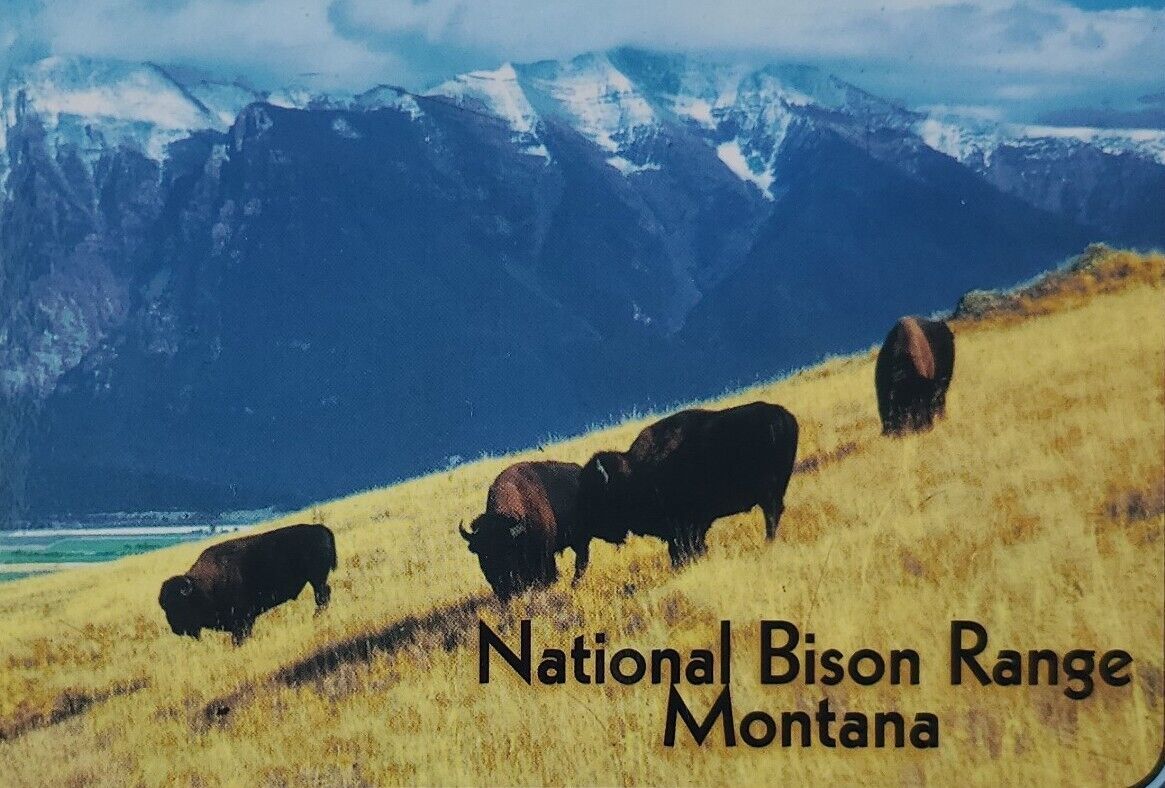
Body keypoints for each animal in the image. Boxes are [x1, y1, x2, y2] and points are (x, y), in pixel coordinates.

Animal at [158, 523, 337, 645]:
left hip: (317, 579)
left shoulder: (243, 619)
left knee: (322, 596)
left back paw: (316, 616)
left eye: (180, 604)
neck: (201, 588)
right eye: (165, 607)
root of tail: (319, 528)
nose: (176, 629)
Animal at [576, 401, 799, 568]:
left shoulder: (682, 525)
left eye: (594, 495)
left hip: (768, 491)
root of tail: (782, 416)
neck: (634, 473)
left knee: (771, 515)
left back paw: (767, 544)